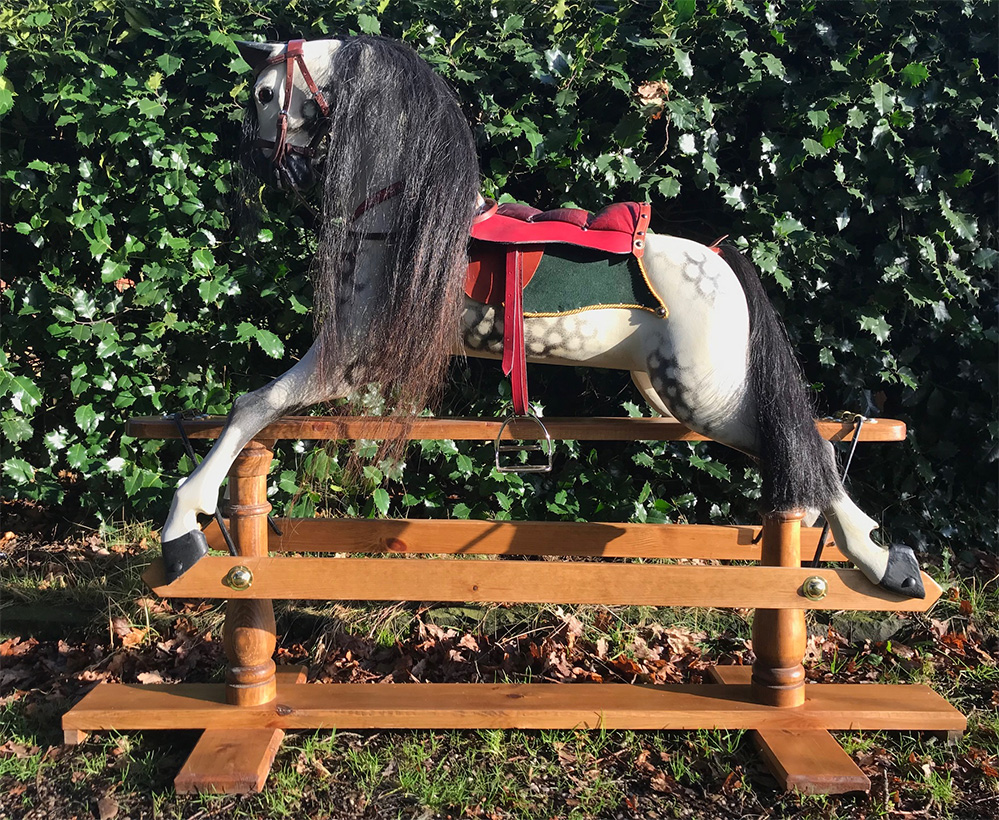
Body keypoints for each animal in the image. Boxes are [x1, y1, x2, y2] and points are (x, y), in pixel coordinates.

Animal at [158, 35, 925, 599]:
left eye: (264, 94)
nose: (261, 170)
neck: (404, 217)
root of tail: (721, 262)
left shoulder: (350, 357)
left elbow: (252, 405)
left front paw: (182, 525)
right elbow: (258, 407)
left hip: (706, 397)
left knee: (811, 449)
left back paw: (887, 564)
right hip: (673, 395)